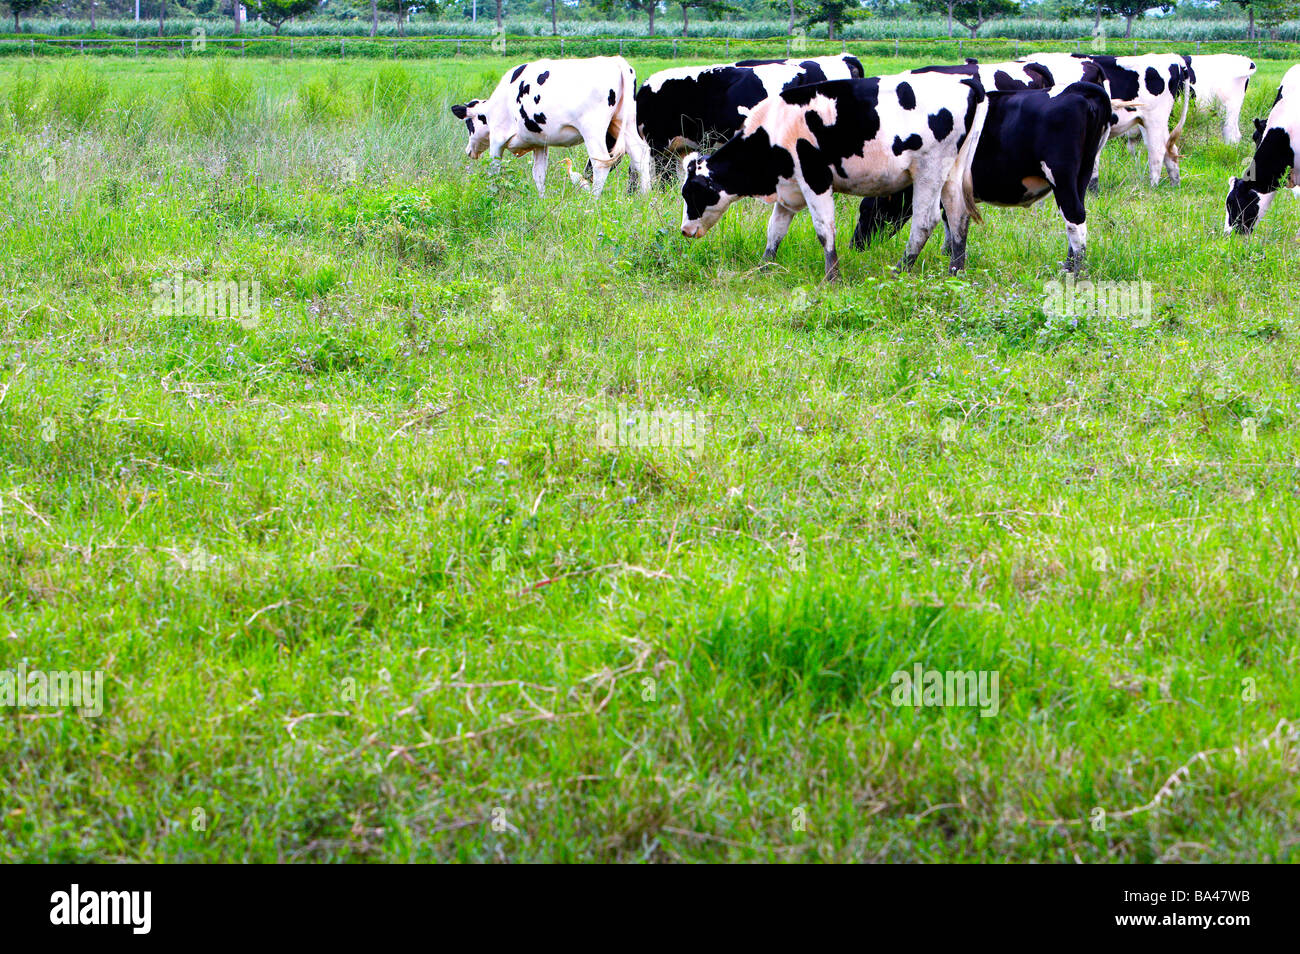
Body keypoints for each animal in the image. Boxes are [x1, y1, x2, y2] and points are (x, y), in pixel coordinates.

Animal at [450, 56, 651, 197]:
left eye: (469, 123)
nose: (469, 151)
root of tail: (615, 61)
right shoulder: (540, 143)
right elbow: (539, 174)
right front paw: (542, 199)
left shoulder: (497, 140)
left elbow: (495, 171)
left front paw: (494, 194)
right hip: (624, 123)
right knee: (640, 153)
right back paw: (646, 196)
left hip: (593, 130)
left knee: (600, 162)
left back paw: (593, 200)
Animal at [678, 72, 989, 281]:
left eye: (691, 193)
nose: (684, 230)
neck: (773, 130)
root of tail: (962, 81)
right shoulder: (788, 191)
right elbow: (774, 230)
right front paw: (764, 267)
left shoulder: (815, 179)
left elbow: (824, 229)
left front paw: (832, 277)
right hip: (952, 172)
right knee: (958, 216)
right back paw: (955, 272)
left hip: (929, 169)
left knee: (925, 221)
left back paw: (899, 271)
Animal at [851, 82, 1113, 272]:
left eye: (866, 210)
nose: (856, 246)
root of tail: (1077, 91)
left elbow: (949, 220)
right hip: (1082, 174)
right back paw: (1068, 265)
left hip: (1061, 174)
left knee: (1074, 217)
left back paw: (1073, 272)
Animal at [1018, 53, 1189, 187]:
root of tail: (1173, 58)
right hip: (1149, 122)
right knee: (1170, 149)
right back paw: (1174, 183)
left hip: (1155, 119)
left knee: (1157, 151)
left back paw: (1153, 186)